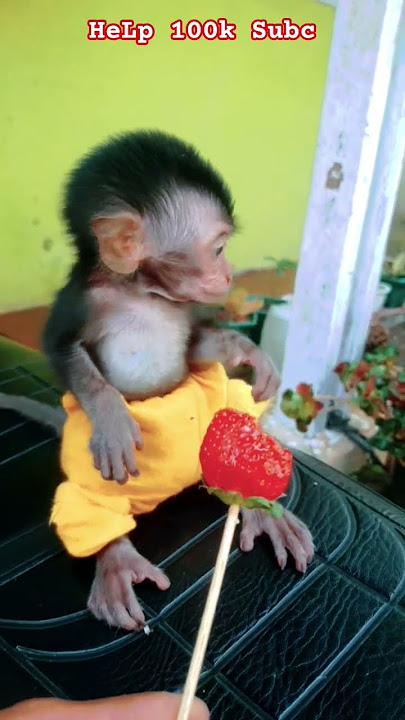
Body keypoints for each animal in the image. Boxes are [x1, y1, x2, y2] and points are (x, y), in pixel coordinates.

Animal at [0, 131, 314, 631]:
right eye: (218, 249)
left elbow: (196, 349)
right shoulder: (81, 302)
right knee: (88, 505)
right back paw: (117, 561)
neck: (141, 291)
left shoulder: (182, 306)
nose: (229, 274)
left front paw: (245, 350)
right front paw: (111, 415)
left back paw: (263, 511)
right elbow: (64, 352)